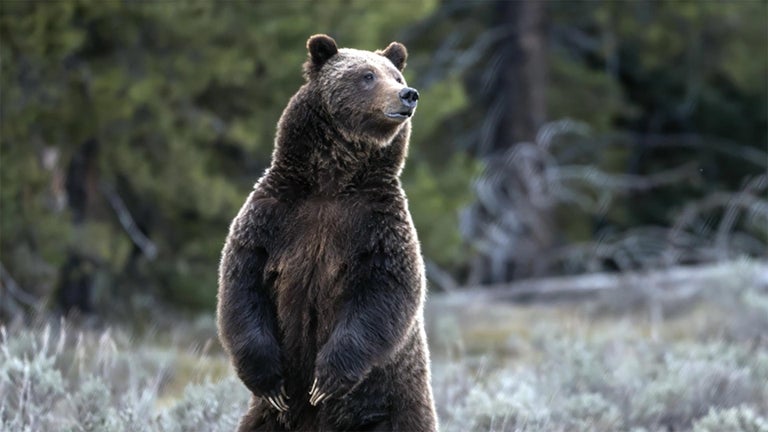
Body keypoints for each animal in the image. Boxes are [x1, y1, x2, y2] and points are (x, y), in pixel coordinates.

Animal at [216, 34, 438, 432]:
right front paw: (270, 382)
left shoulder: (377, 224)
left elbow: (386, 290)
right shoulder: (274, 214)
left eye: (396, 75)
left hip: (394, 401)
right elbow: (242, 283)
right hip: (267, 419)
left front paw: (326, 381)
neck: (331, 182)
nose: (408, 94)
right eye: (367, 75)